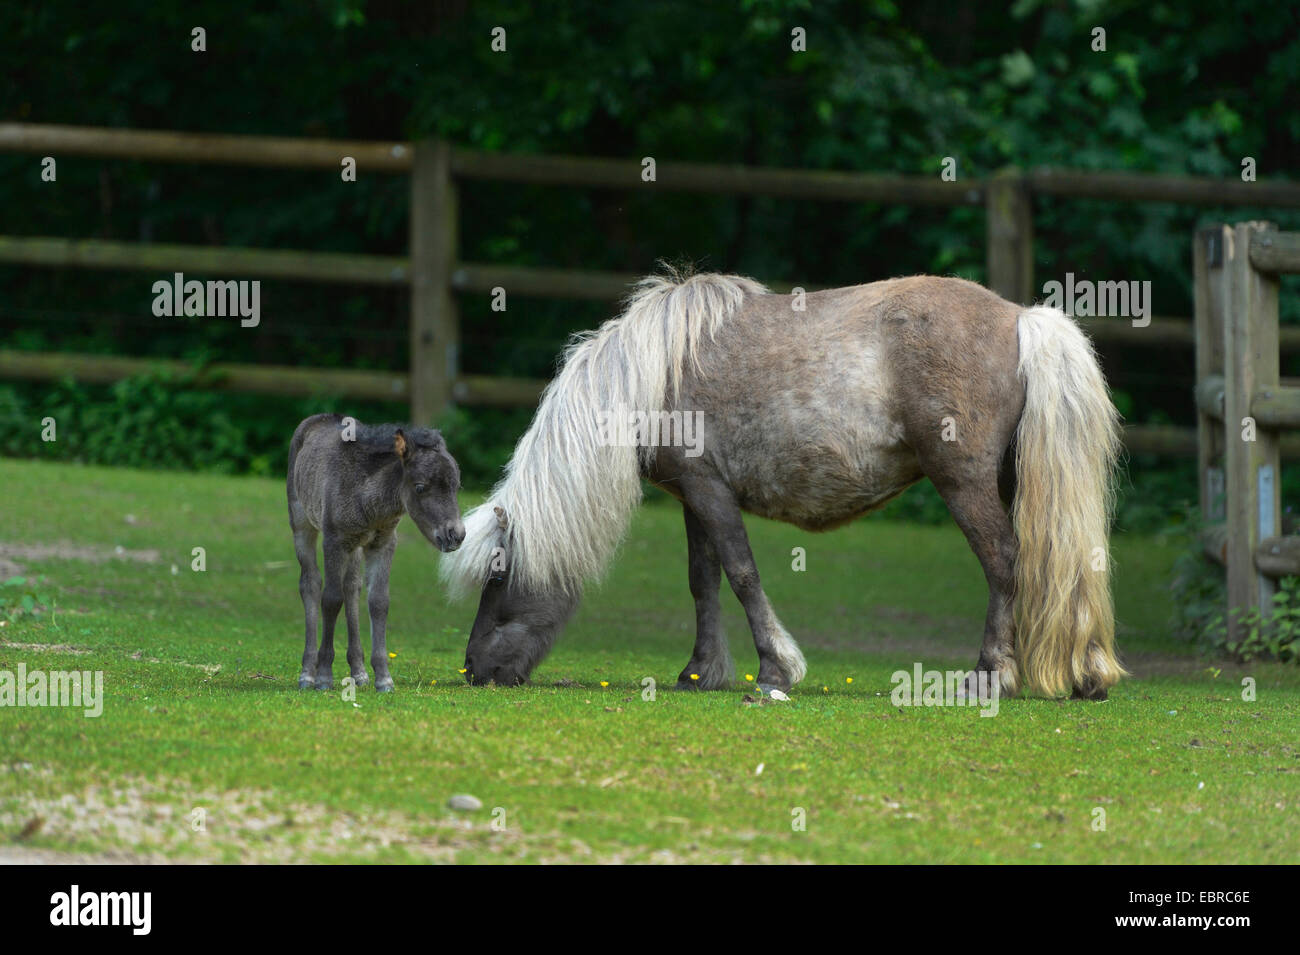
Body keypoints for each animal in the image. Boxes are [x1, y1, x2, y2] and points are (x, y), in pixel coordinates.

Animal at [288, 413, 464, 692]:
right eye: (420, 487)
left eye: (456, 486)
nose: (455, 535)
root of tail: (318, 418)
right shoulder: (334, 541)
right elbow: (331, 599)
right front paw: (324, 676)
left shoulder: (383, 544)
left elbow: (378, 602)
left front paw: (383, 677)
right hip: (302, 524)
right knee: (311, 584)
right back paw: (307, 673)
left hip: (355, 547)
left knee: (352, 588)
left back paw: (359, 672)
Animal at [440, 270, 1124, 700]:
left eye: (498, 575)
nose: (474, 669)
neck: (652, 379)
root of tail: (1022, 319)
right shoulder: (695, 495)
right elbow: (704, 581)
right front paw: (701, 672)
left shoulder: (710, 493)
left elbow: (742, 574)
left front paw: (775, 669)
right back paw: (1086, 673)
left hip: (965, 484)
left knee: (1004, 562)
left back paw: (988, 677)